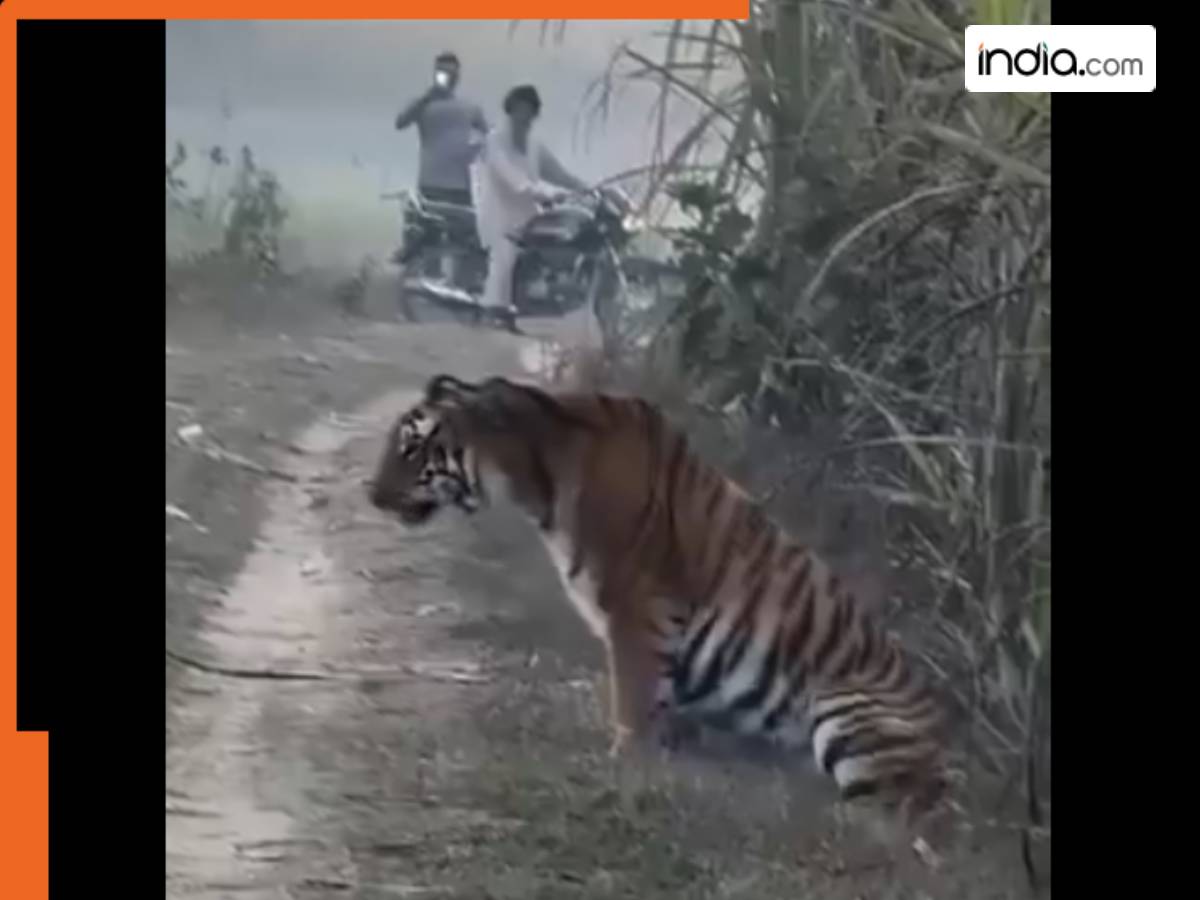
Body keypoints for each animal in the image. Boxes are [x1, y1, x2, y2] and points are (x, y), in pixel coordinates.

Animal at [368, 373, 948, 818]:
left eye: (412, 447)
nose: (370, 495)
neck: (534, 476)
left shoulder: (637, 609)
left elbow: (631, 700)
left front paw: (623, 768)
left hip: (847, 711)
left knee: (892, 812)